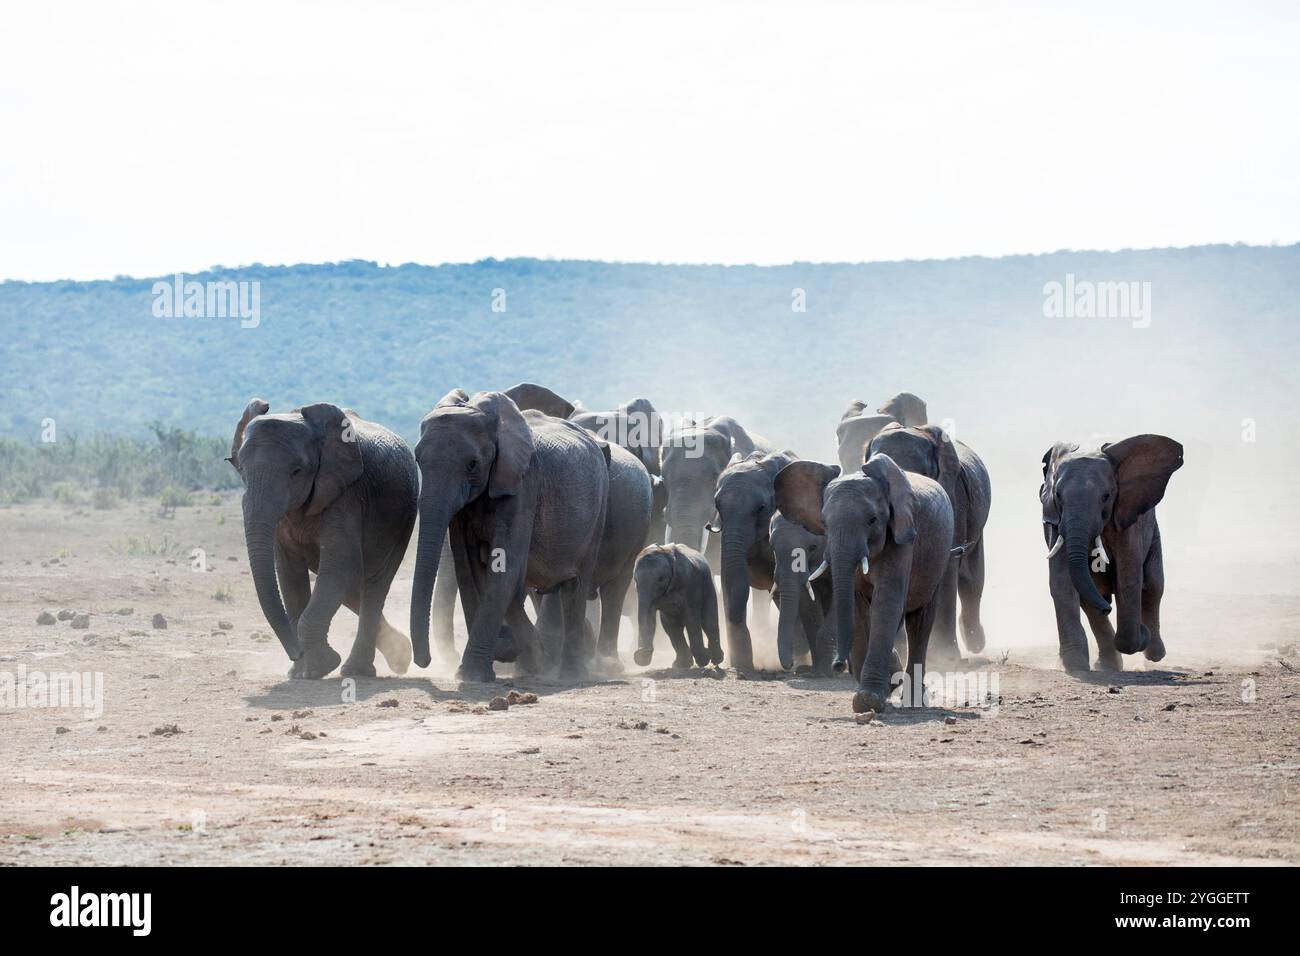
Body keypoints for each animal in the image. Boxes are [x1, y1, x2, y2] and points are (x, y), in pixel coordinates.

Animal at [228, 399, 416, 679]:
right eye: (242, 471)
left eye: (296, 471)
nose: (295, 653)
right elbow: (289, 574)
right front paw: (299, 673)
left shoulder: (347, 494)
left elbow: (341, 567)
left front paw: (320, 667)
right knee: (353, 587)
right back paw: (400, 656)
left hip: (401, 520)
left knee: (372, 584)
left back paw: (357, 670)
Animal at [409, 389, 610, 683]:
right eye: (418, 460)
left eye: (473, 464)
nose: (424, 662)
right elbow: (469, 570)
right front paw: (501, 659)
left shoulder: (524, 486)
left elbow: (504, 568)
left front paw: (472, 674)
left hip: (599, 510)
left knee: (576, 586)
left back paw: (569, 675)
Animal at [775, 453, 954, 714]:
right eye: (823, 523)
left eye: (872, 520)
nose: (838, 666)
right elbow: (856, 604)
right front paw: (873, 694)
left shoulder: (901, 537)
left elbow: (886, 601)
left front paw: (868, 700)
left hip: (939, 557)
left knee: (920, 620)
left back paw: (913, 702)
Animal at [867, 422, 991, 660]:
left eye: (925, 474)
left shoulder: (954, 495)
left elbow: (946, 562)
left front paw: (946, 657)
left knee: (972, 580)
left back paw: (974, 643)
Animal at [1039, 434, 1183, 672]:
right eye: (1058, 496)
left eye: (1106, 496)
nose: (1106, 608)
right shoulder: (1055, 521)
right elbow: (1062, 582)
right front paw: (1074, 668)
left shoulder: (1127, 518)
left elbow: (1128, 578)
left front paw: (1141, 635)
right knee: (1089, 600)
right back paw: (1108, 664)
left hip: (1153, 533)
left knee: (1154, 586)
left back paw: (1154, 653)